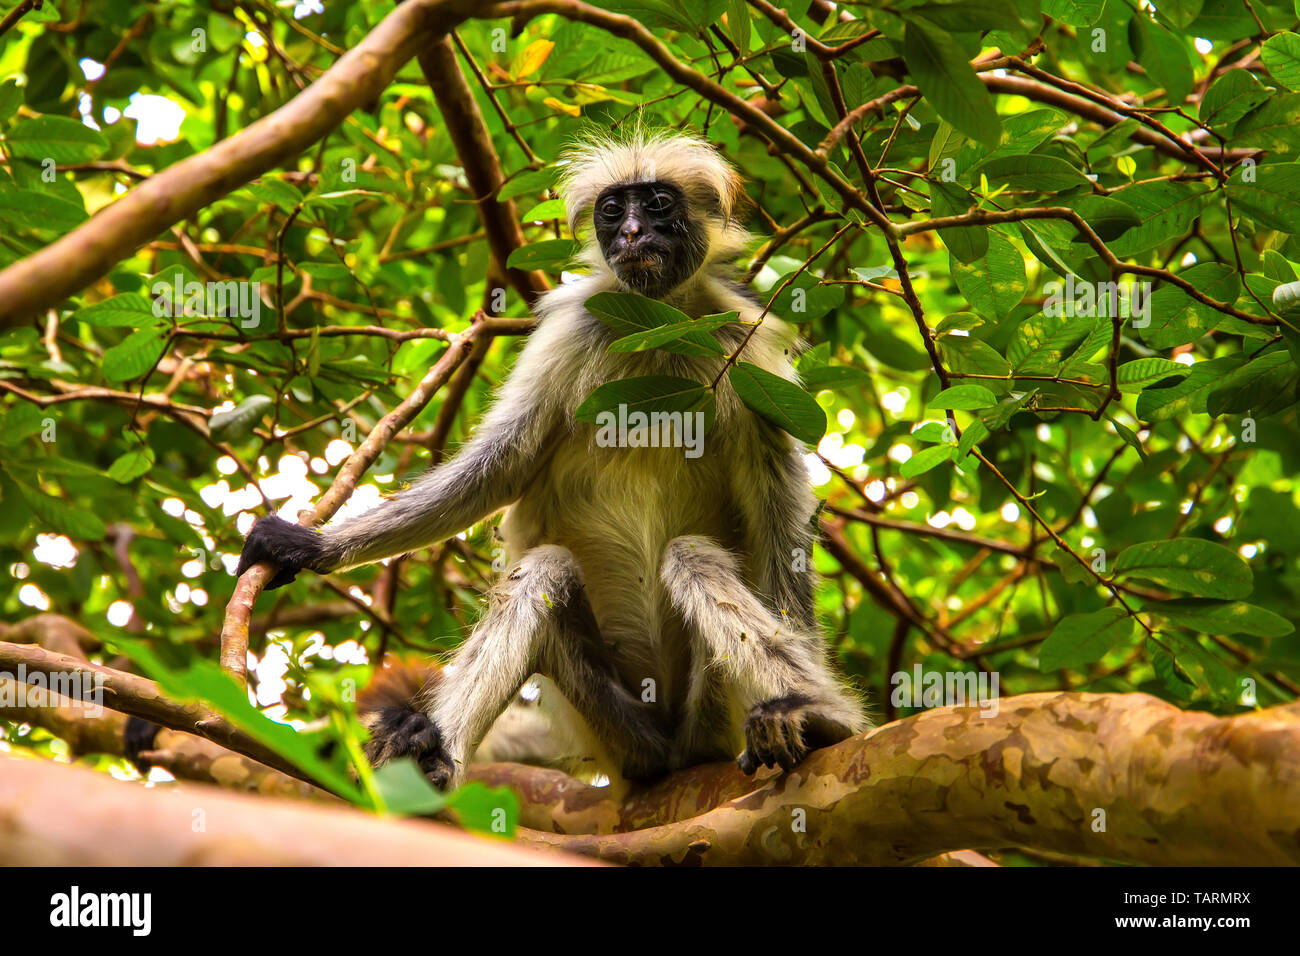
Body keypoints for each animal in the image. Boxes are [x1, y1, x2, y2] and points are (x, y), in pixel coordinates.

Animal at [235, 130, 870, 790]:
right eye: (613, 211)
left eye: (658, 204)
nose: (632, 234)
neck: (658, 325)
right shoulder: (576, 323)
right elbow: (500, 467)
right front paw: (308, 548)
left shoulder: (746, 348)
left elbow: (778, 523)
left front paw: (826, 711)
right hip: (611, 725)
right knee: (547, 571)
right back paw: (427, 753)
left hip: (708, 712)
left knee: (692, 557)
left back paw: (813, 719)